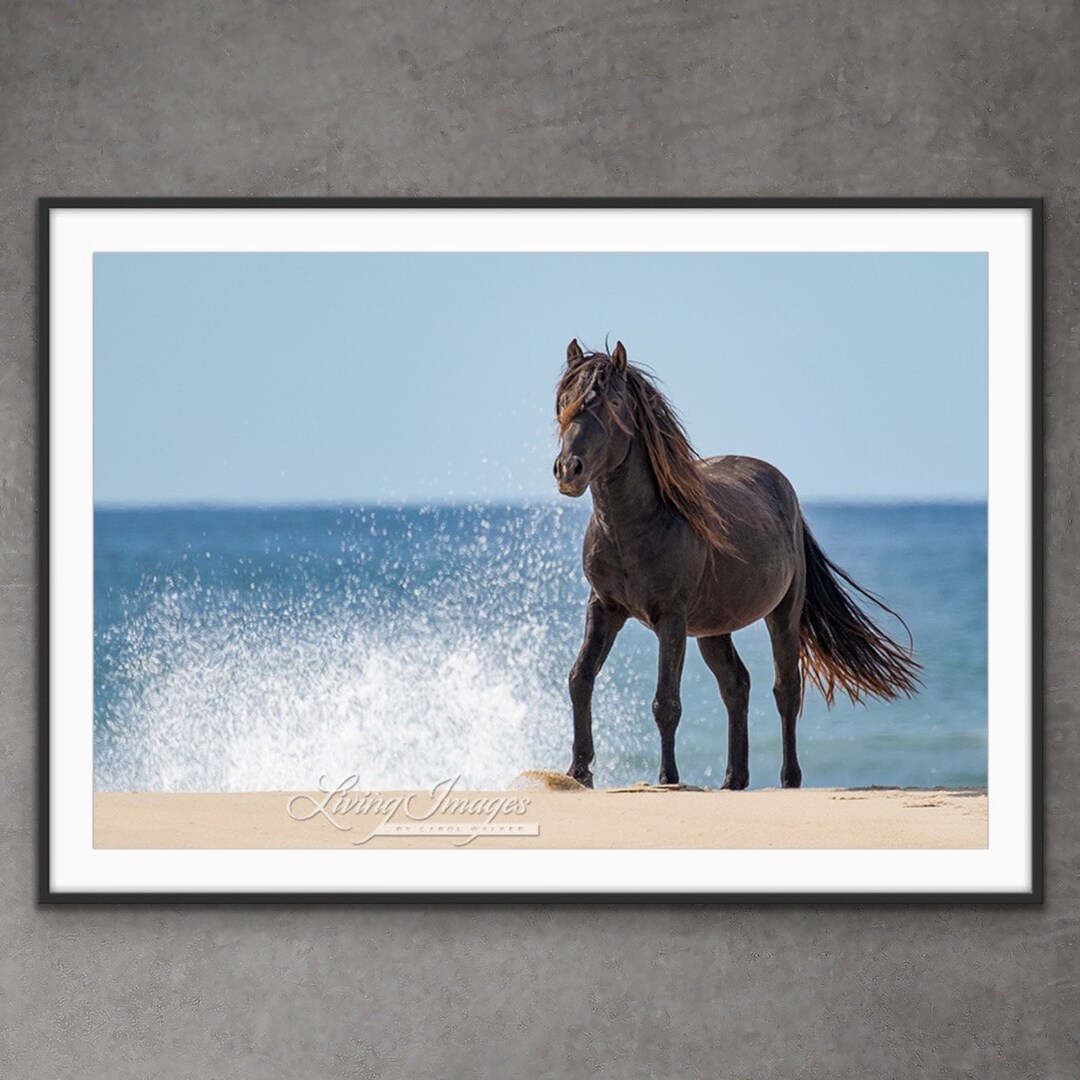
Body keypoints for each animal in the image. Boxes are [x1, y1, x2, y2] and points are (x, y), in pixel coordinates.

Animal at [553, 339, 920, 790]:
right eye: (564, 401)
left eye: (612, 404)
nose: (568, 470)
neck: (636, 526)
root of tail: (783, 488)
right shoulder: (604, 608)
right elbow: (581, 678)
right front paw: (578, 773)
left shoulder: (671, 619)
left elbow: (666, 702)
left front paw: (668, 778)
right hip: (714, 628)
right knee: (736, 685)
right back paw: (734, 779)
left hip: (783, 614)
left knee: (786, 690)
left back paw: (788, 778)